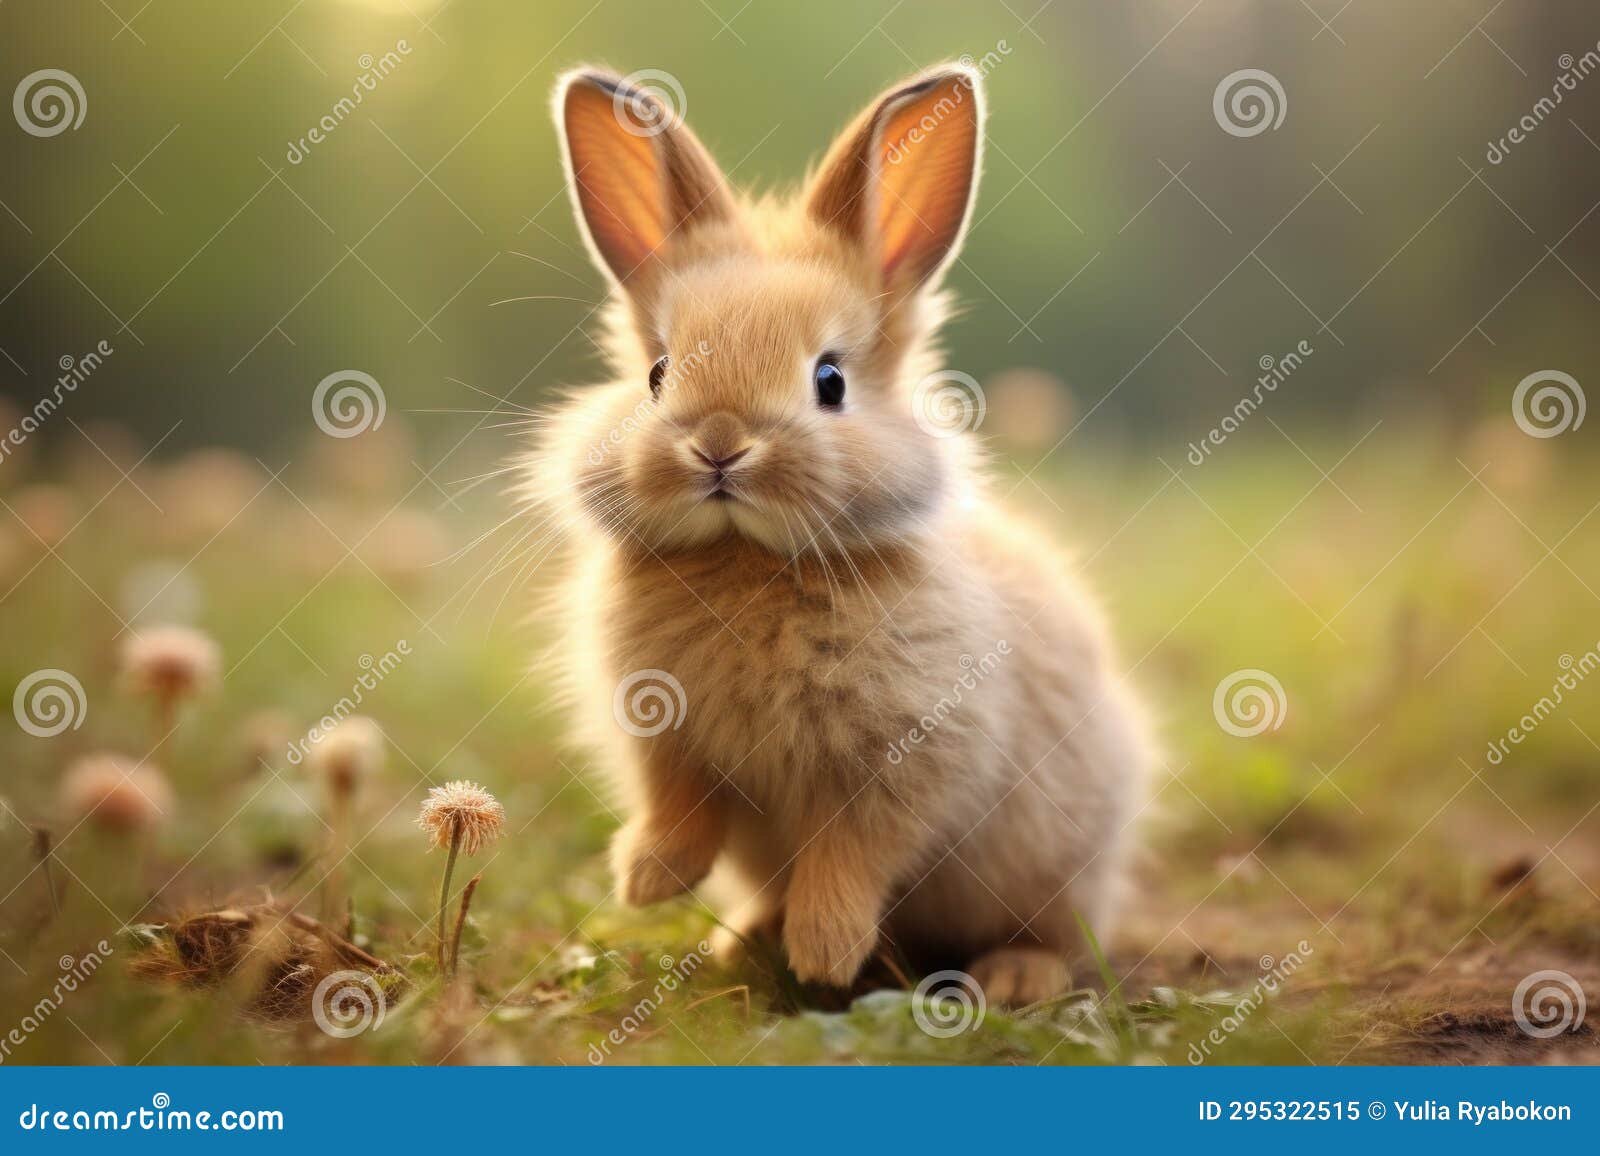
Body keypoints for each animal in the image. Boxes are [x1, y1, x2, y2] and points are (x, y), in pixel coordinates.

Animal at [521, 61, 1151, 1006]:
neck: (749, 558)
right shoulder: (667, 740)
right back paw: (743, 939)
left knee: (1061, 933)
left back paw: (1012, 977)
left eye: (829, 381)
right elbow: (679, 803)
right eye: (657, 372)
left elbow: (852, 854)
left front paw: (824, 949)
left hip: (1060, 861)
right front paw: (650, 878)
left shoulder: (909, 759)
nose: (719, 445)